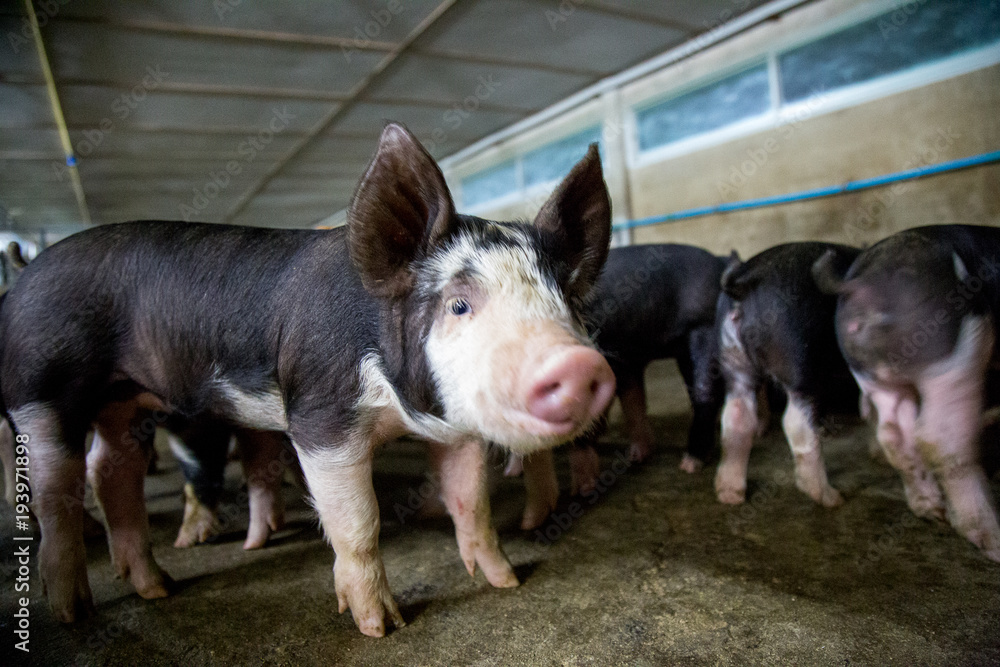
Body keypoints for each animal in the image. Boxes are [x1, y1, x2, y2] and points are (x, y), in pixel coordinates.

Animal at [0, 123, 616, 636]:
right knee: (57, 492)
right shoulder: (319, 418)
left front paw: (505, 580)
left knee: (111, 470)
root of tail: (22, 282)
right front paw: (381, 627)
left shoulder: (452, 423)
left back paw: (158, 589)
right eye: (459, 304)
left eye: (567, 302)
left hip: (124, 402)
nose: (579, 365)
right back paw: (75, 613)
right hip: (40, 390)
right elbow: (358, 523)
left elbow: (472, 502)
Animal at [714, 242, 861, 508]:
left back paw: (730, 496)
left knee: (736, 416)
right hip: (799, 363)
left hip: (732, 358)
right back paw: (831, 497)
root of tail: (742, 284)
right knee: (795, 422)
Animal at [813, 224, 1000, 561]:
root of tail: (861, 283)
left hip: (875, 377)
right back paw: (992, 540)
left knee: (896, 434)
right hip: (953, 355)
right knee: (940, 438)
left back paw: (931, 510)